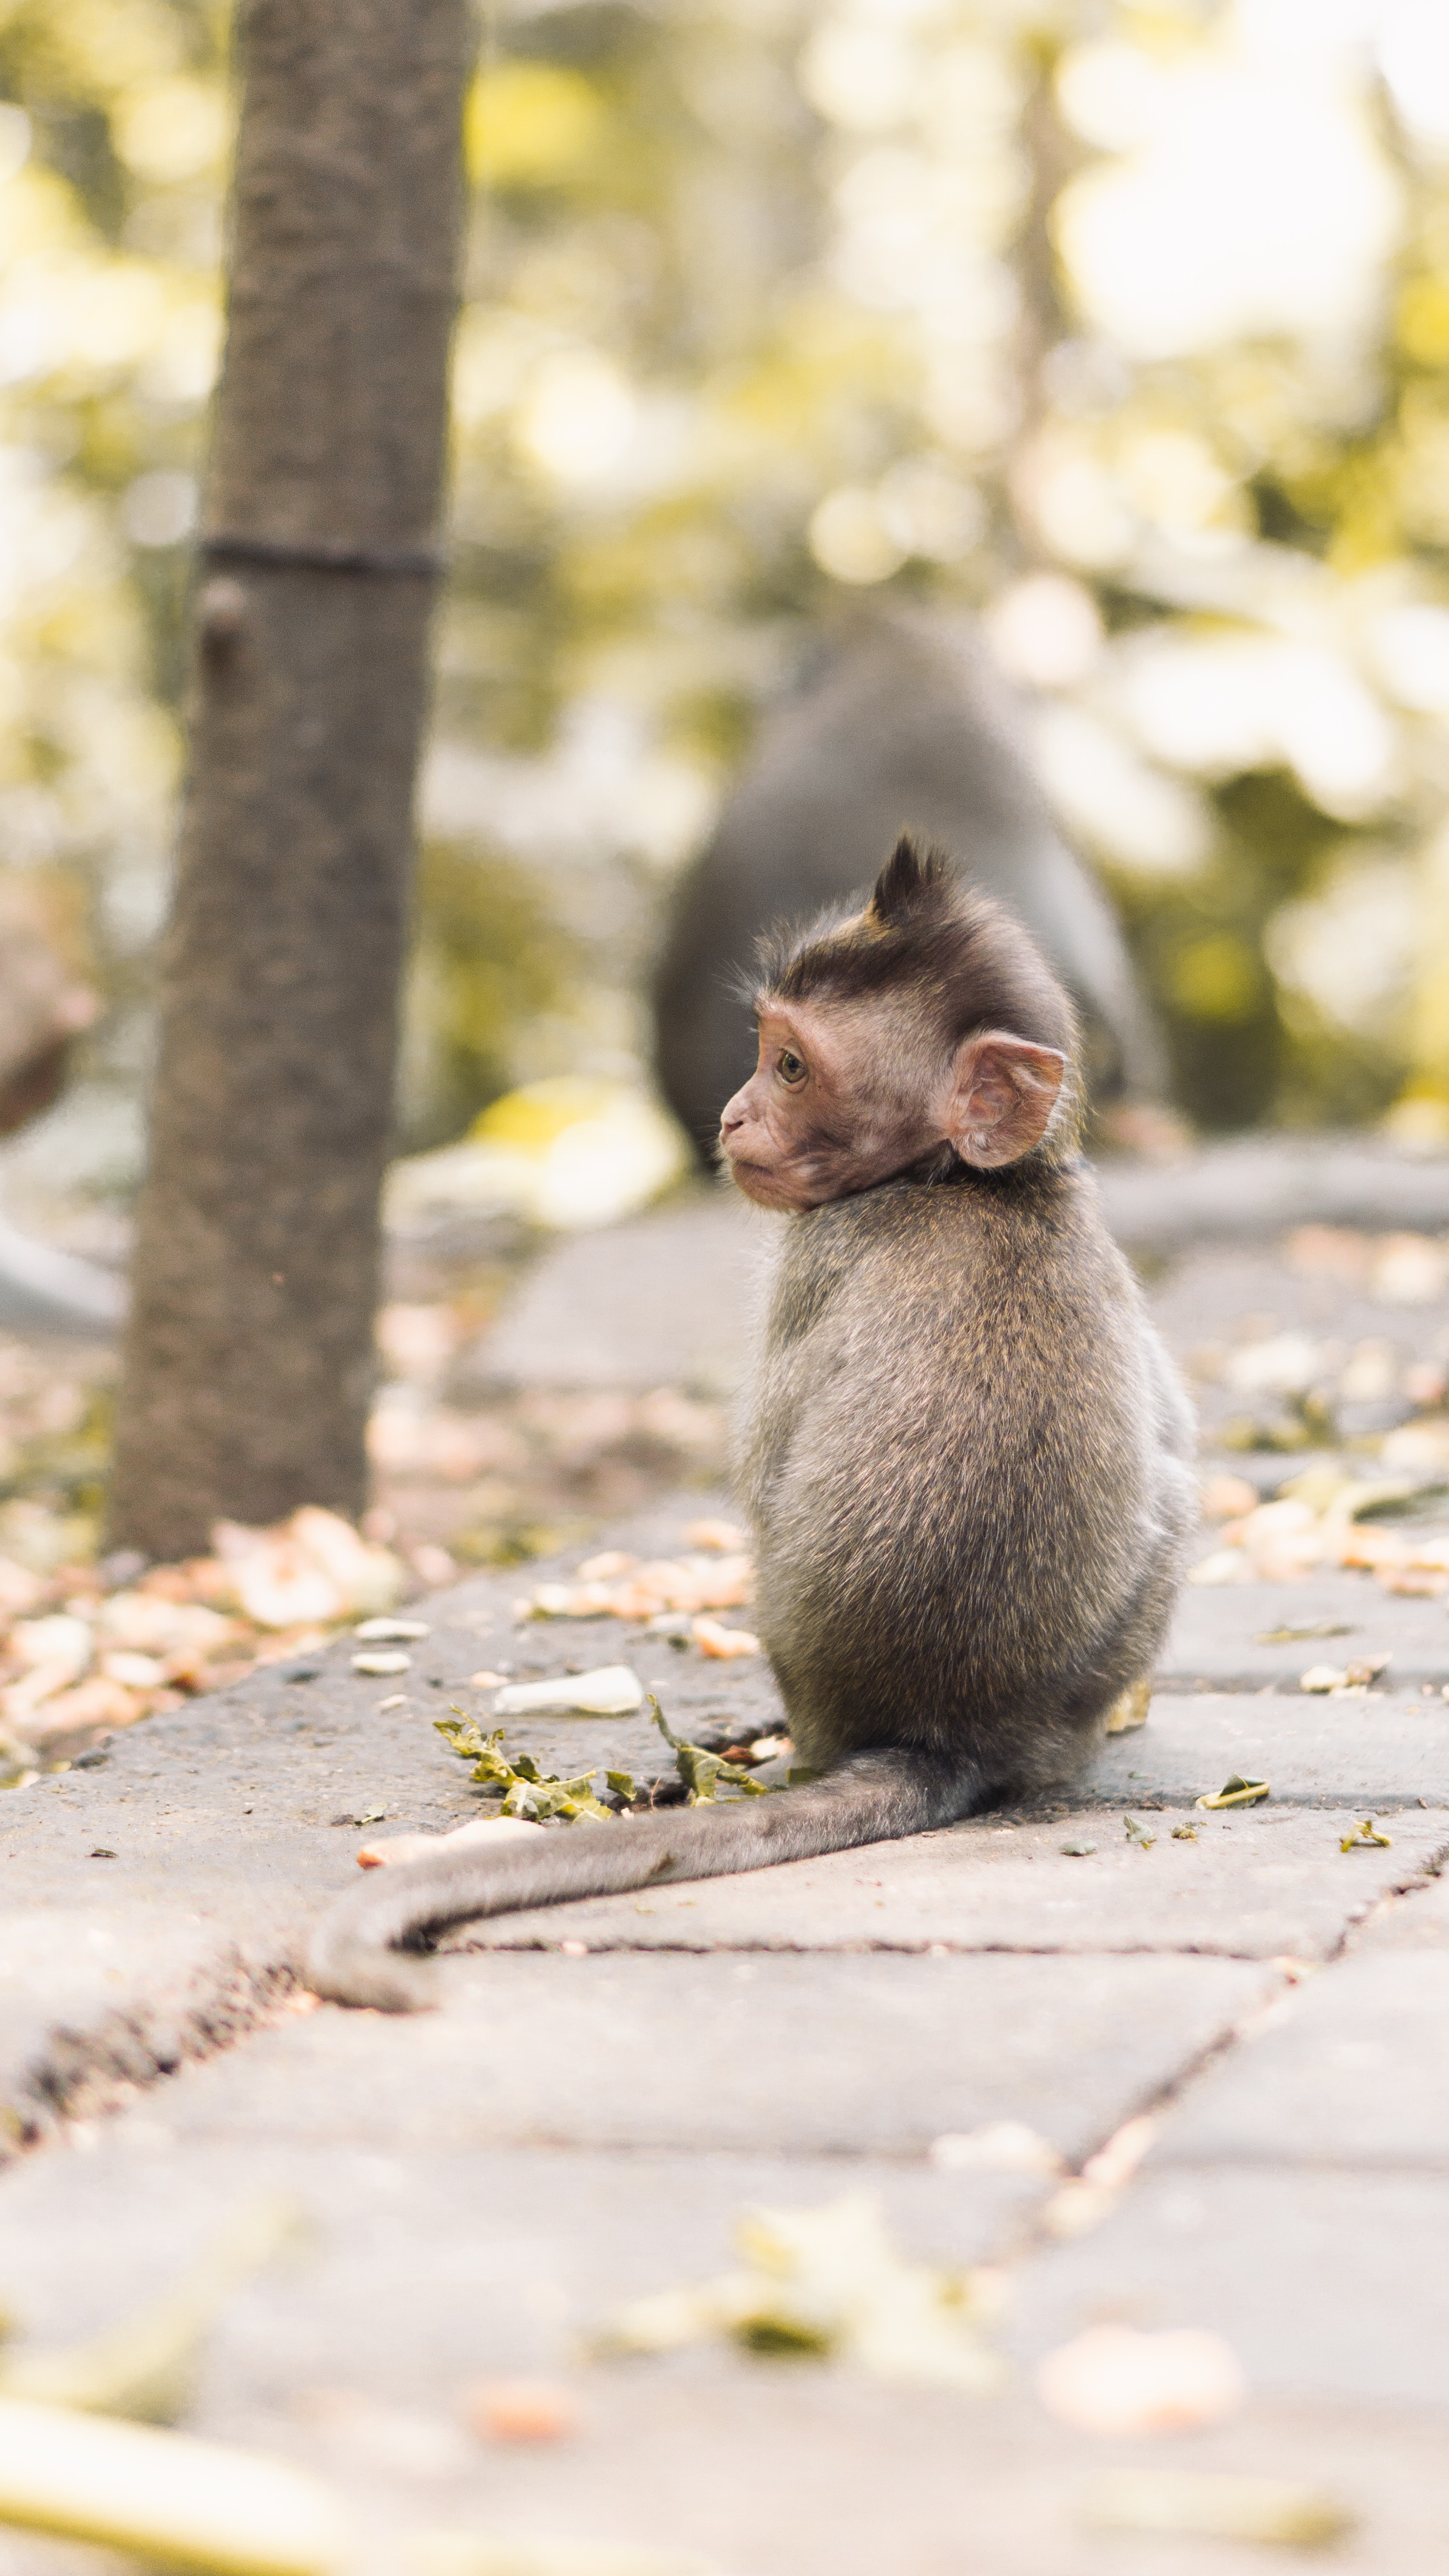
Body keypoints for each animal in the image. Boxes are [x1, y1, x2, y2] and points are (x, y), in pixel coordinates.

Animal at [306, 836, 1196, 2011]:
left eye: (792, 1067)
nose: (732, 1114)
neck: (965, 1179)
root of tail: (947, 1732)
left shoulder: (815, 1255)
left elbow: (768, 1474)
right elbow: (1176, 1430)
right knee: (1178, 1484)